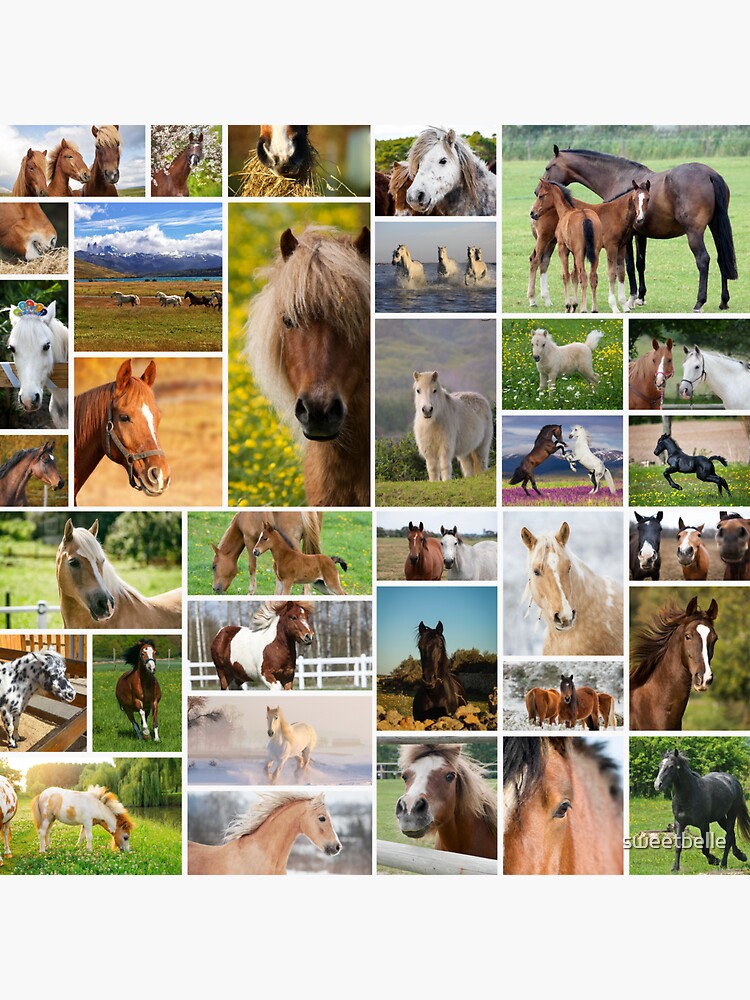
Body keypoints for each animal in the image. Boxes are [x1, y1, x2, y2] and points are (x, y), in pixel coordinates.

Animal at [533, 178, 601, 313]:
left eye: (541, 196)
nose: (532, 213)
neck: (565, 211)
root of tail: (586, 218)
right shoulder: (574, 252)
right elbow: (574, 276)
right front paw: (574, 305)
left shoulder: (563, 249)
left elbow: (566, 276)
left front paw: (568, 306)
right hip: (595, 253)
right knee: (592, 277)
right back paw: (594, 309)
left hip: (580, 254)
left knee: (584, 276)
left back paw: (584, 309)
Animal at [544, 144, 738, 312]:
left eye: (548, 167)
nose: (540, 188)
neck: (618, 178)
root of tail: (710, 175)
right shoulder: (640, 235)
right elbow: (640, 263)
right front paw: (640, 297)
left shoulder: (627, 238)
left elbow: (628, 266)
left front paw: (630, 299)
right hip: (715, 227)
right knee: (721, 259)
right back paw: (724, 301)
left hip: (694, 233)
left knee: (703, 260)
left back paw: (699, 302)